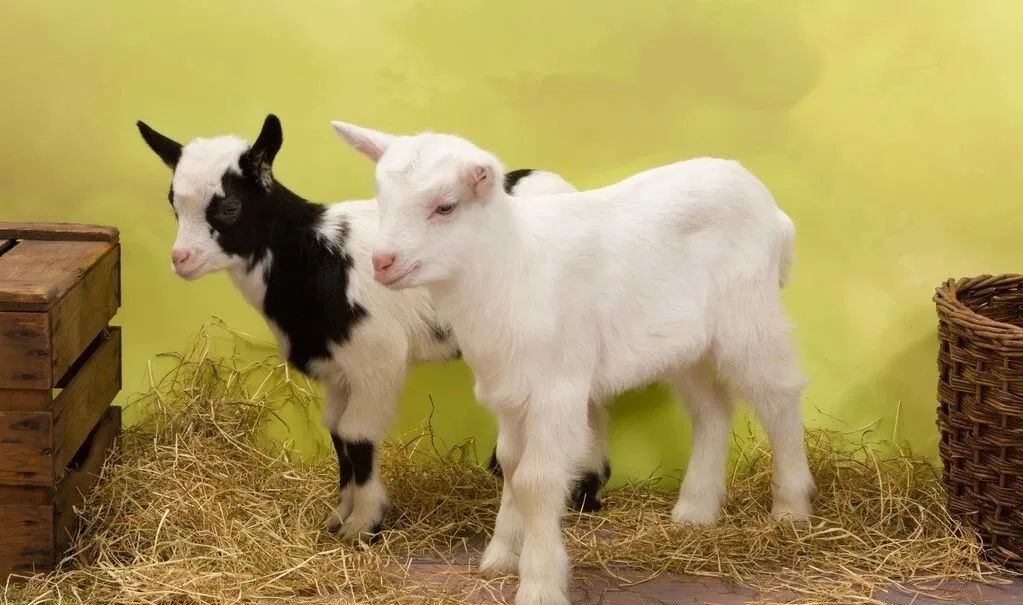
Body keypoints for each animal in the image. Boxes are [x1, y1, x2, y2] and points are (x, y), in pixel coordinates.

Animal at [135, 114, 605, 542]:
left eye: (229, 207)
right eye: (174, 205)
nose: (181, 259)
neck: (317, 257)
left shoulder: (375, 356)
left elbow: (357, 435)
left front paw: (364, 524)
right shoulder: (339, 368)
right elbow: (337, 433)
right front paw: (338, 516)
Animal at [331, 121, 815, 605]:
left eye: (445, 206)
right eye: (382, 199)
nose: (382, 263)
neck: (508, 269)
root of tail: (775, 213)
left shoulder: (557, 387)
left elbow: (537, 480)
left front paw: (539, 583)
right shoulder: (510, 390)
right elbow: (510, 464)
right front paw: (502, 554)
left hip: (749, 315)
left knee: (780, 397)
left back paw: (791, 508)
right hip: (687, 344)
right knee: (712, 410)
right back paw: (695, 510)